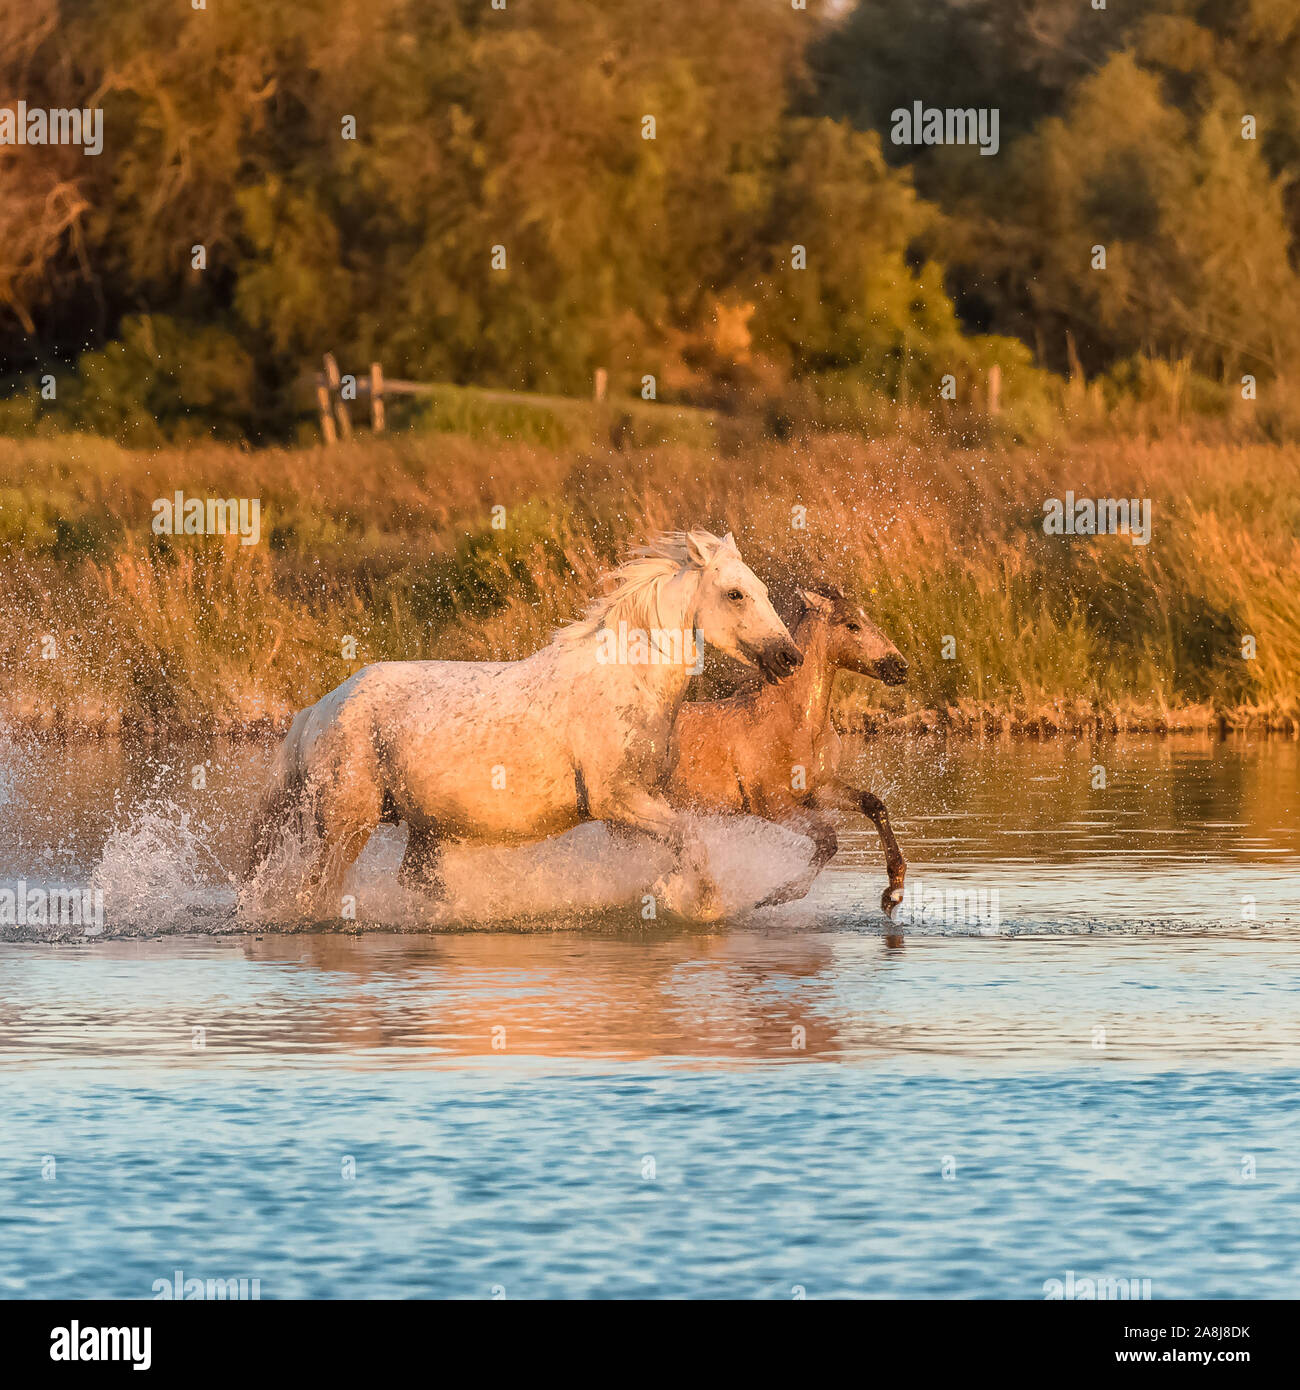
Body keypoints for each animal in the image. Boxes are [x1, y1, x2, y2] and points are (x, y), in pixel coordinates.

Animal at [243, 530, 803, 917]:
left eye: (761, 589)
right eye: (735, 594)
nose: (789, 657)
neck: (626, 679)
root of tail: (315, 711)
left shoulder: (636, 806)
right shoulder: (617, 800)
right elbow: (691, 838)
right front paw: (696, 903)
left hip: (424, 830)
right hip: (346, 826)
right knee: (315, 897)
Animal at [666, 584, 908, 913]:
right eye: (852, 625)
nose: (900, 667)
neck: (800, 726)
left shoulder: (817, 791)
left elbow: (874, 804)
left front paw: (894, 888)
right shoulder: (773, 805)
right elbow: (828, 840)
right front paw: (774, 895)